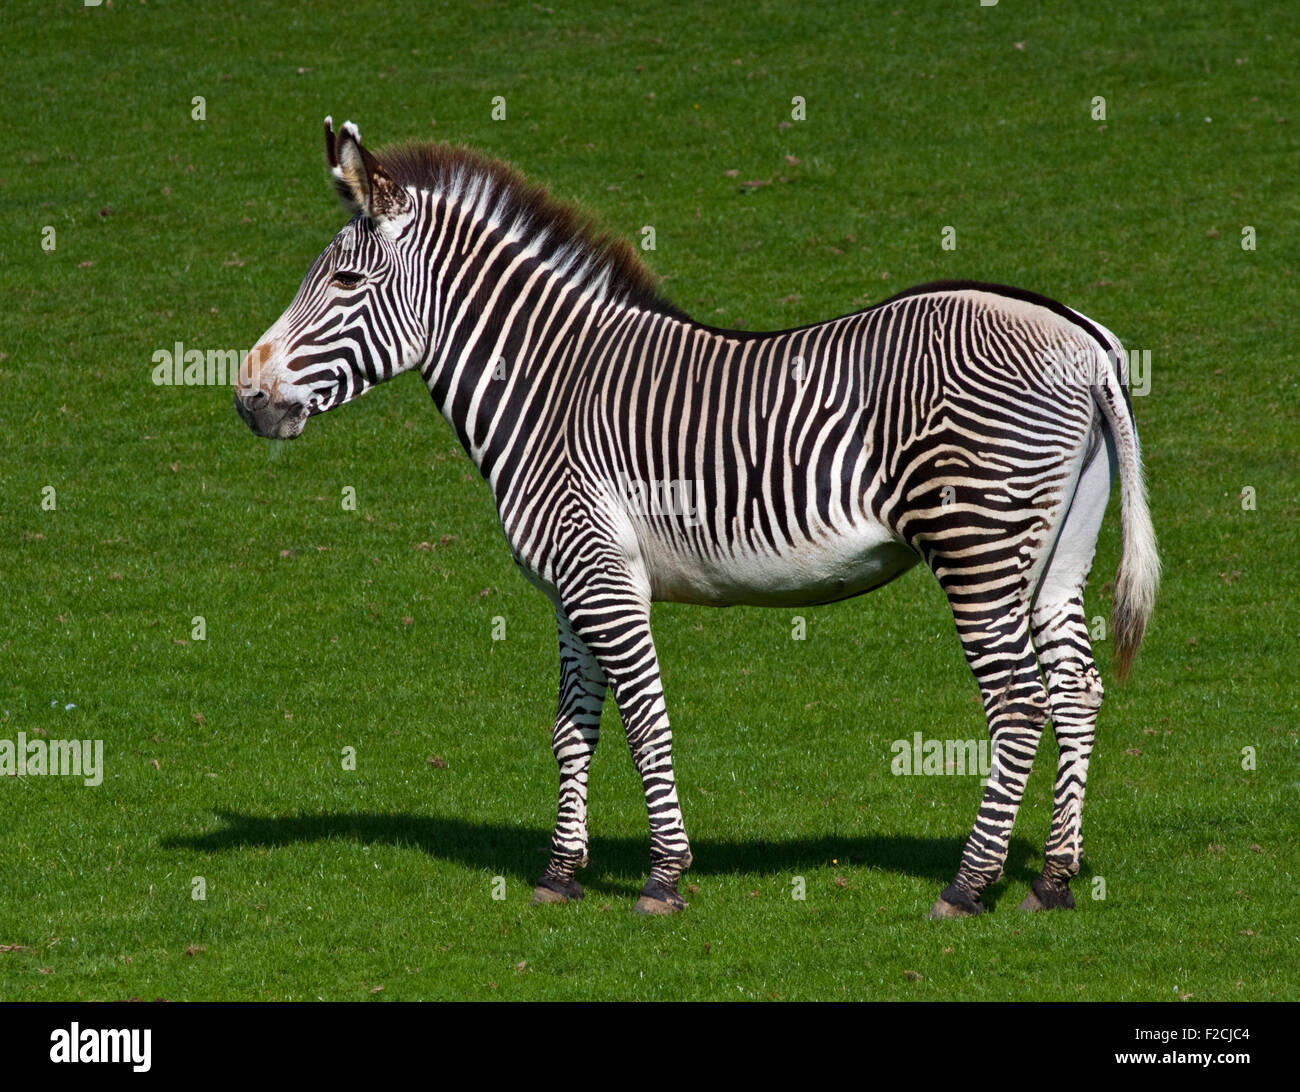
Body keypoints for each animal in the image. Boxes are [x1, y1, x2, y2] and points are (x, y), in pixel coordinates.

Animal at [234, 118, 1158, 918]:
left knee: (1019, 702)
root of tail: (1083, 339)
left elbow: (645, 719)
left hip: (976, 545)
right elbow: (573, 727)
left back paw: (967, 887)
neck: (546, 387)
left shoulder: (602, 578)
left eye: (346, 283)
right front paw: (561, 873)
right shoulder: (570, 586)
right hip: (1055, 554)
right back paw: (1054, 879)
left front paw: (664, 877)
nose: (248, 397)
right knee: (1075, 690)